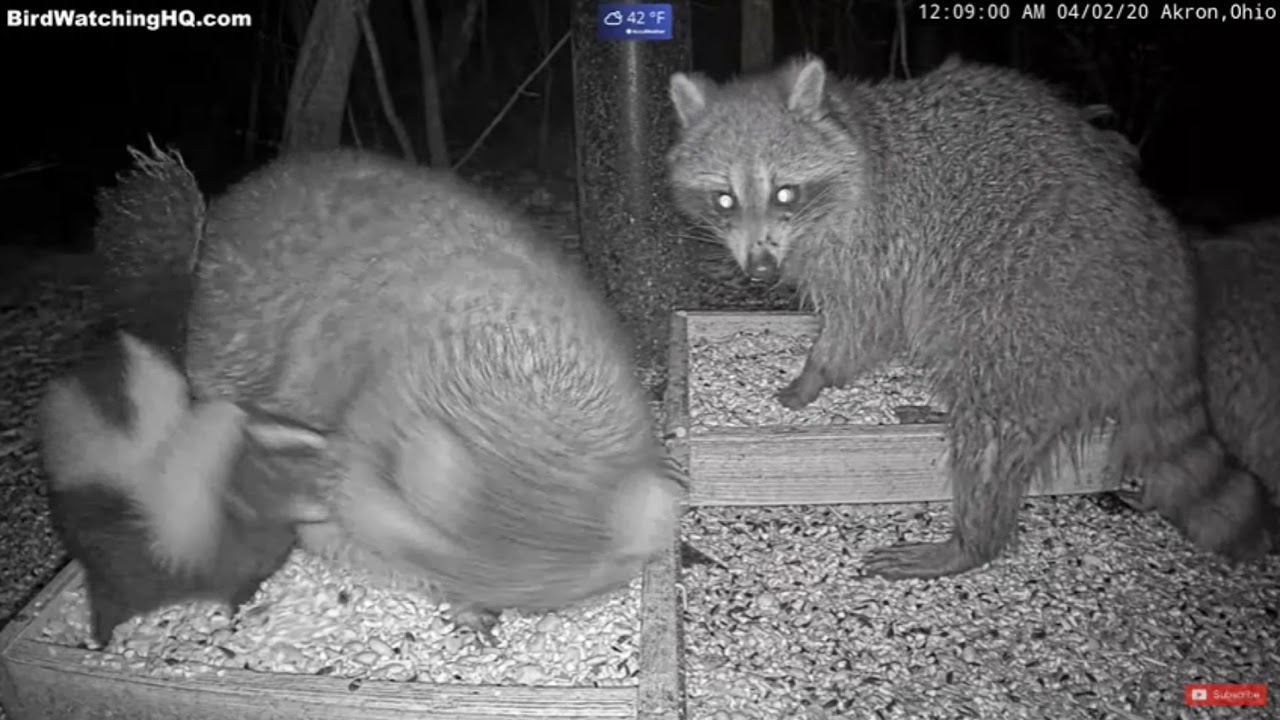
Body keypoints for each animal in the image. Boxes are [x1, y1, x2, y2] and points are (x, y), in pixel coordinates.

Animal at [38, 331, 332, 647]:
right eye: (277, 470)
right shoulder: (122, 565)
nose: (330, 446)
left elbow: (241, 591)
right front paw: (100, 642)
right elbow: (108, 603)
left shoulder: (248, 567)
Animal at [665, 55, 1266, 579]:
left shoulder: (877, 239)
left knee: (994, 425)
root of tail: (1169, 306)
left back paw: (971, 541)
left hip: (1036, 313)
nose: (760, 272)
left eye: (785, 192)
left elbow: (866, 322)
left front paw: (813, 374)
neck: (859, 134)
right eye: (724, 199)